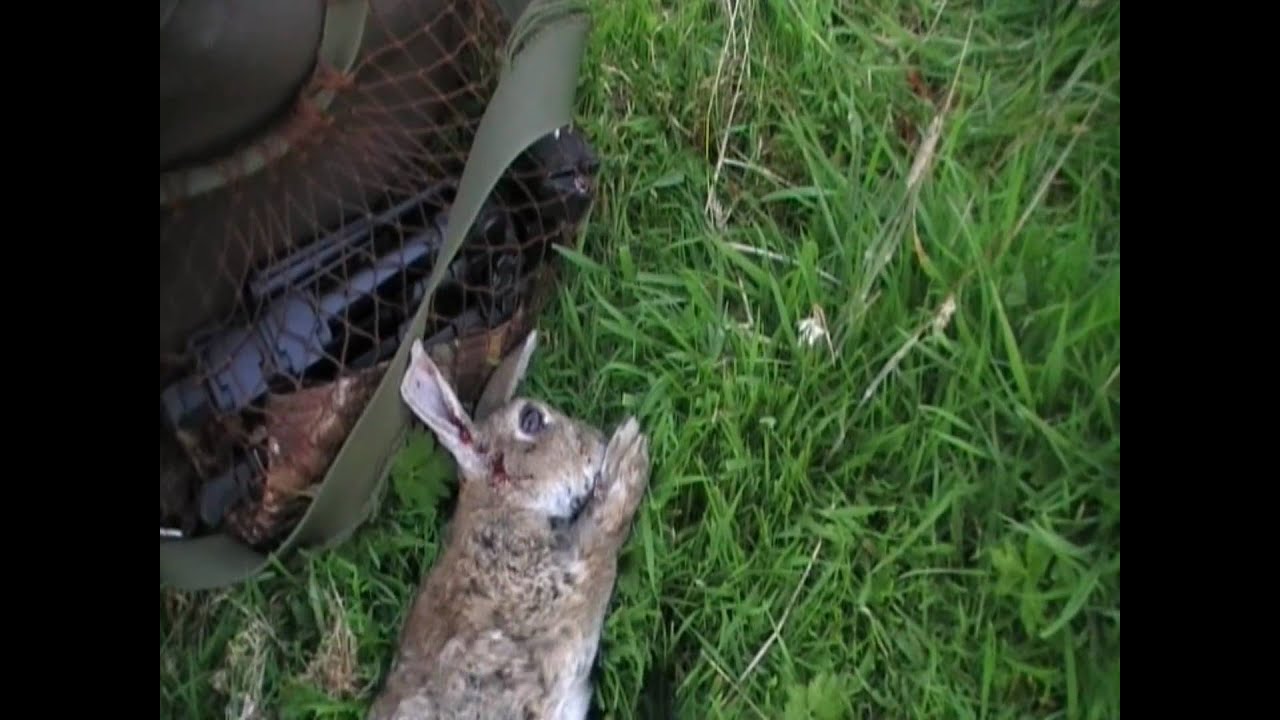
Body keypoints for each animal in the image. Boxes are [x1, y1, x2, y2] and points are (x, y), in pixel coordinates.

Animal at [367, 330, 652, 720]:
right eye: (531, 419)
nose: (598, 442)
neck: (505, 508)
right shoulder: (563, 582)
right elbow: (605, 532)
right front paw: (630, 451)